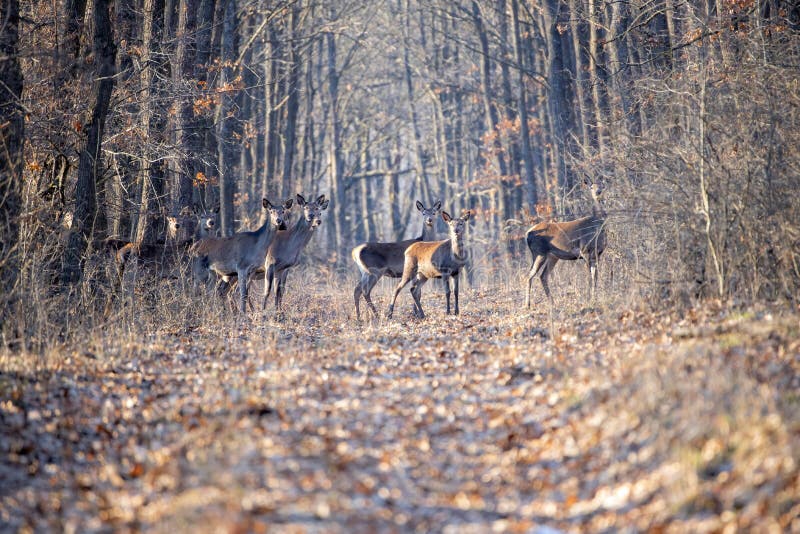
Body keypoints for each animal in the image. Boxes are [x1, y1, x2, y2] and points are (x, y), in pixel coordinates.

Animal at [525, 177, 607, 308]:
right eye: (591, 187)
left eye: (603, 186)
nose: (598, 193)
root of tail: (527, 233)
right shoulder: (584, 250)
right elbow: (589, 277)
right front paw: (588, 299)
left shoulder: (598, 253)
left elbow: (595, 276)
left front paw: (595, 298)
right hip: (539, 252)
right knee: (529, 275)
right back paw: (527, 304)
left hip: (552, 256)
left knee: (543, 276)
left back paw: (552, 302)